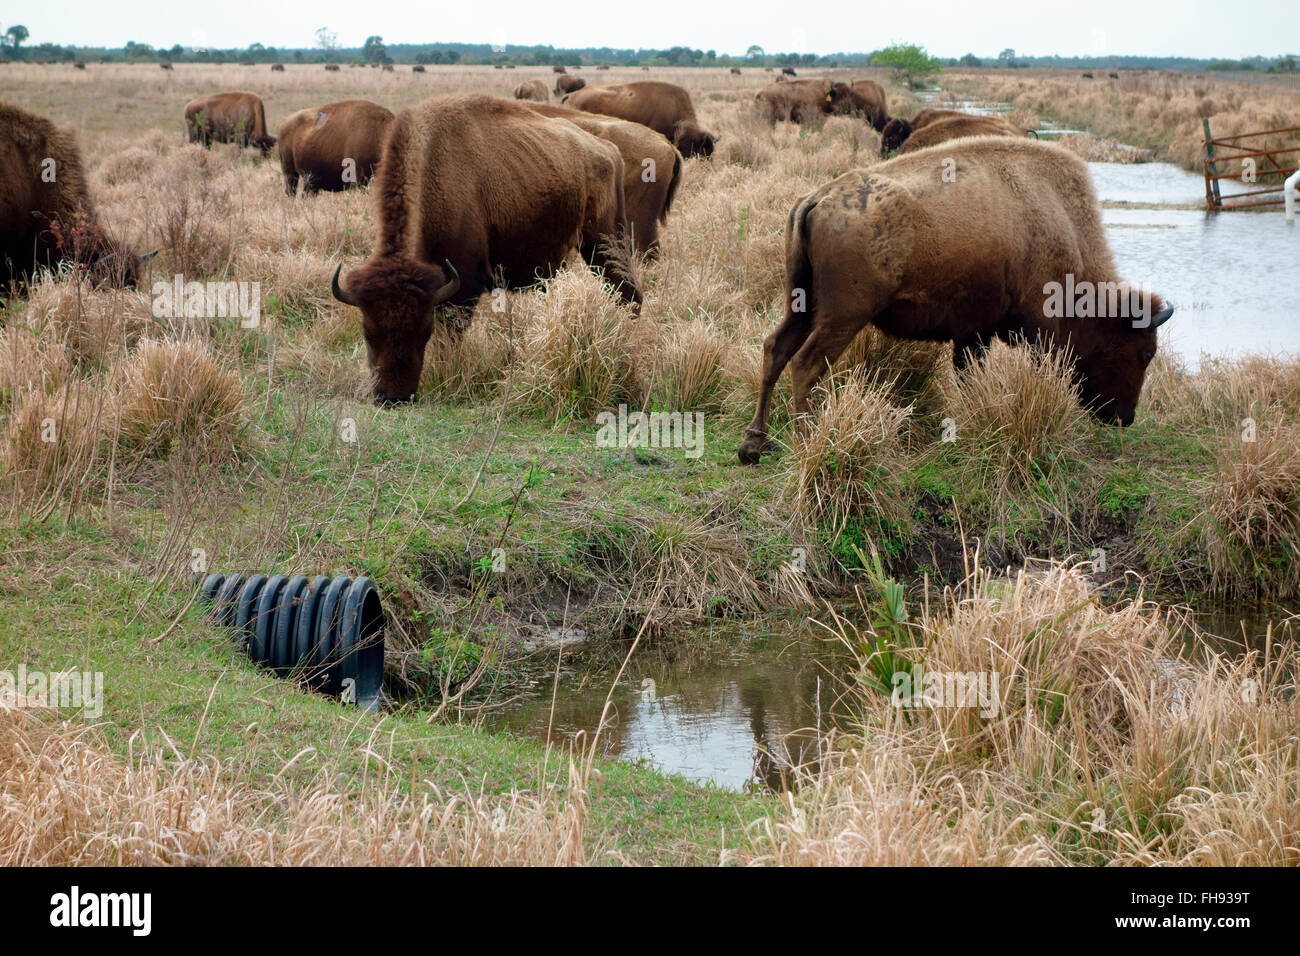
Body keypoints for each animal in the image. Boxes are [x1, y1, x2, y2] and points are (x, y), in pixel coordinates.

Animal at [330, 95, 641, 404]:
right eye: (367, 332)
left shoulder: (463, 285)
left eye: (423, 330)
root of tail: (608, 151)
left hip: (605, 243)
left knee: (628, 294)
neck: (433, 168)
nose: (393, 397)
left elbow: (452, 334)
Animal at [737, 137, 1174, 464]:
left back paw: (753, 446)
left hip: (801, 305)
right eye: (1145, 352)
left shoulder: (973, 333)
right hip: (842, 315)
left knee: (775, 349)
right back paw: (806, 441)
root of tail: (817, 198)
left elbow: (968, 376)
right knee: (806, 363)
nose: (1125, 417)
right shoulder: (1034, 331)